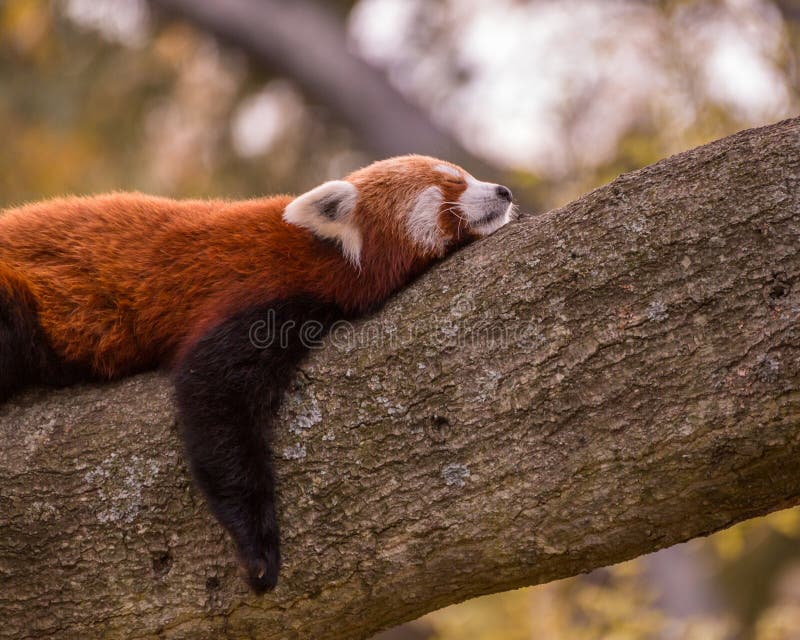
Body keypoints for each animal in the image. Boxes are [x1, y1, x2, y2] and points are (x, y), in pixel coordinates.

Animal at [0, 155, 514, 592]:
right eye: (452, 182)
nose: (504, 191)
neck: (323, 254)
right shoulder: (256, 295)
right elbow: (213, 397)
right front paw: (258, 546)